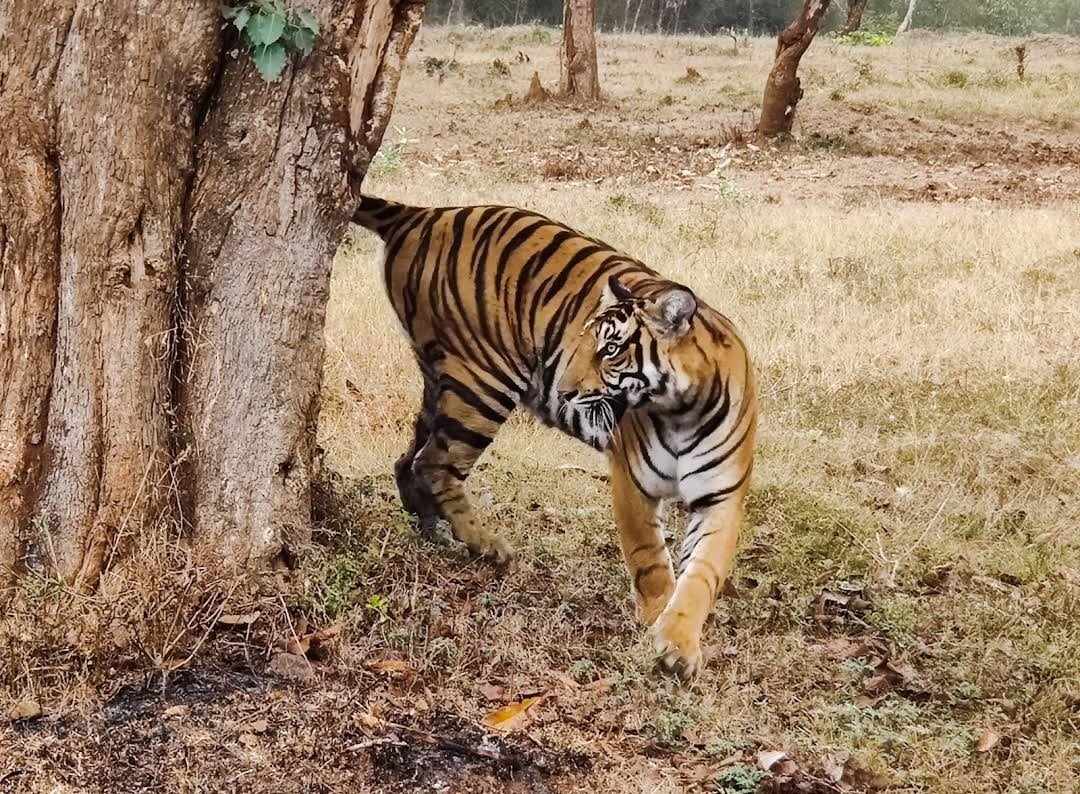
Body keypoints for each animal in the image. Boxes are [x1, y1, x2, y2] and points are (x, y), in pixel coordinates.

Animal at [351, 195, 758, 678]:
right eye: (583, 342)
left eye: (610, 349)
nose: (563, 390)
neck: (682, 408)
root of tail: (424, 213)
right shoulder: (633, 483)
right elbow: (650, 562)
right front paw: (657, 619)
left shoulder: (721, 496)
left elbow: (702, 574)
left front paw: (679, 645)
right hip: (482, 383)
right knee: (435, 463)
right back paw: (488, 548)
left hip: (443, 383)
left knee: (410, 459)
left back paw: (432, 529)